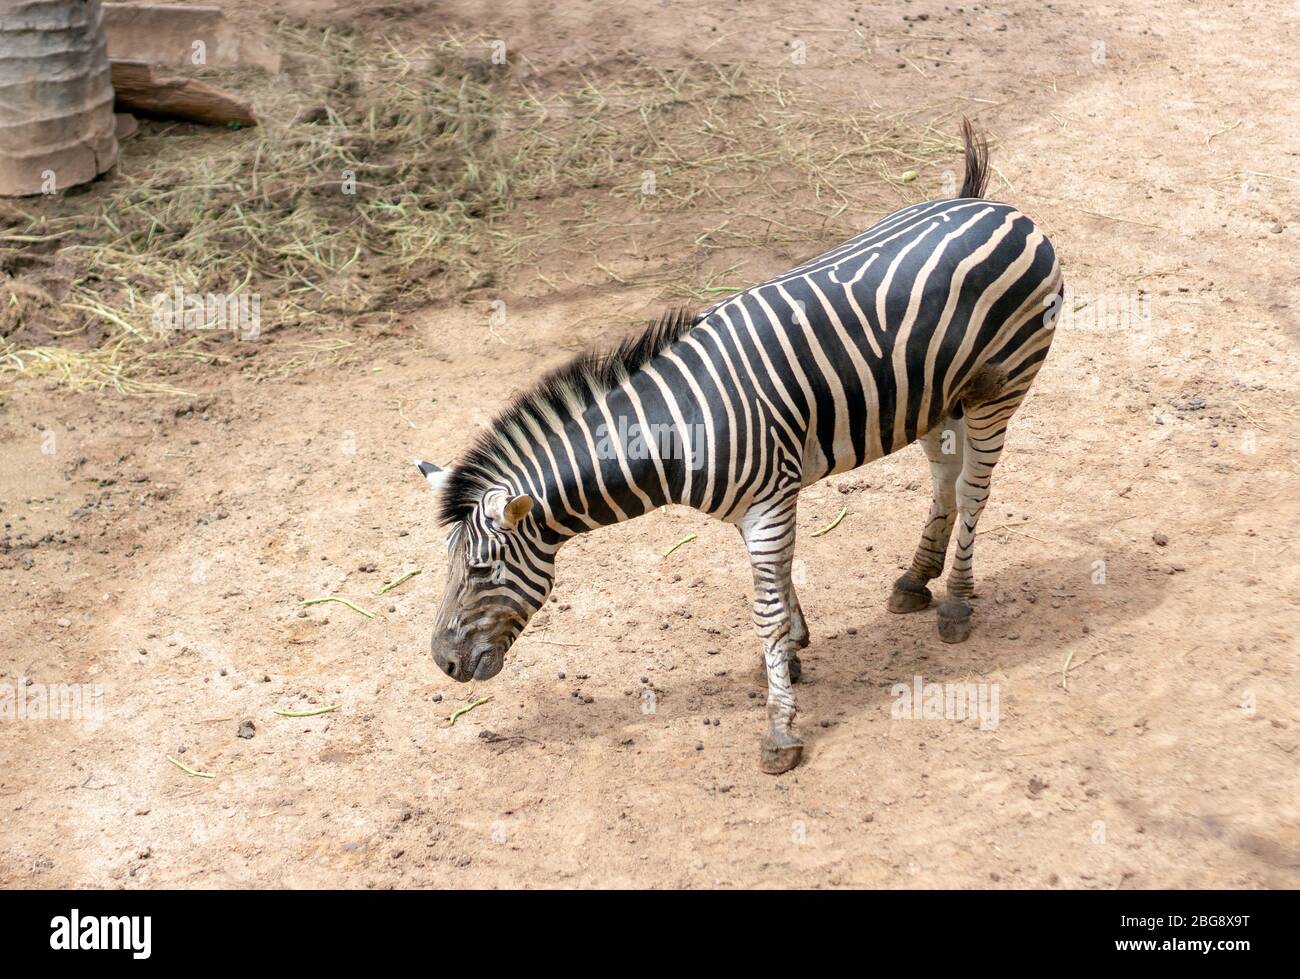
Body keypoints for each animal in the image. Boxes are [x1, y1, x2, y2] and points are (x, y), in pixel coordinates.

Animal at [415, 121, 1062, 773]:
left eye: (480, 569)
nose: (443, 663)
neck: (678, 429)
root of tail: (985, 203)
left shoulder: (770, 503)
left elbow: (766, 612)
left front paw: (780, 728)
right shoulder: (763, 505)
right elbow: (781, 586)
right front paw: (794, 655)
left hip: (1001, 385)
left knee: (974, 489)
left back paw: (955, 601)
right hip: (933, 394)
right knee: (945, 481)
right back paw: (915, 580)